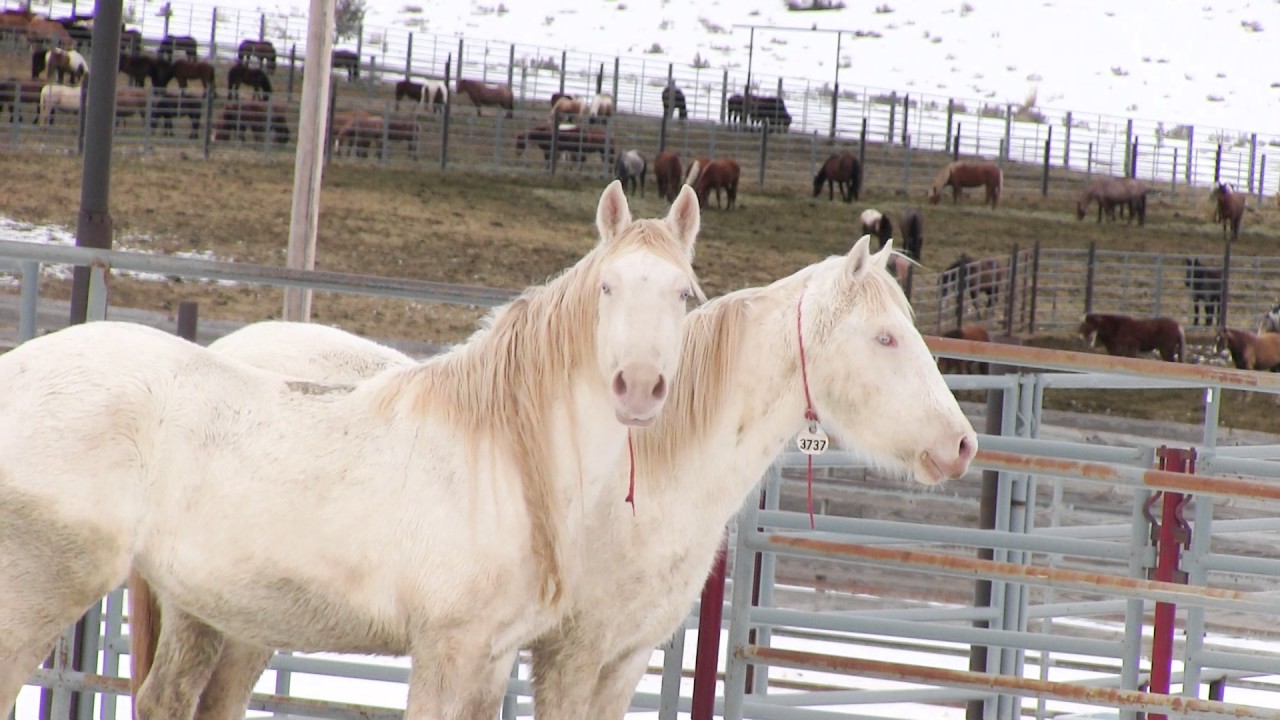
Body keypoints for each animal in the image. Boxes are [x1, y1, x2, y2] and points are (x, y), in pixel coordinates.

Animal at [0, 181, 708, 720]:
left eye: (685, 294)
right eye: (608, 287)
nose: (639, 386)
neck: (503, 456)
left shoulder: (494, 658)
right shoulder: (448, 650)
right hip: (39, 591)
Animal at [124, 235, 976, 720]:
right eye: (886, 336)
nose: (962, 443)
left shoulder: (621, 658)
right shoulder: (569, 654)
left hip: (249, 617)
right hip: (206, 615)